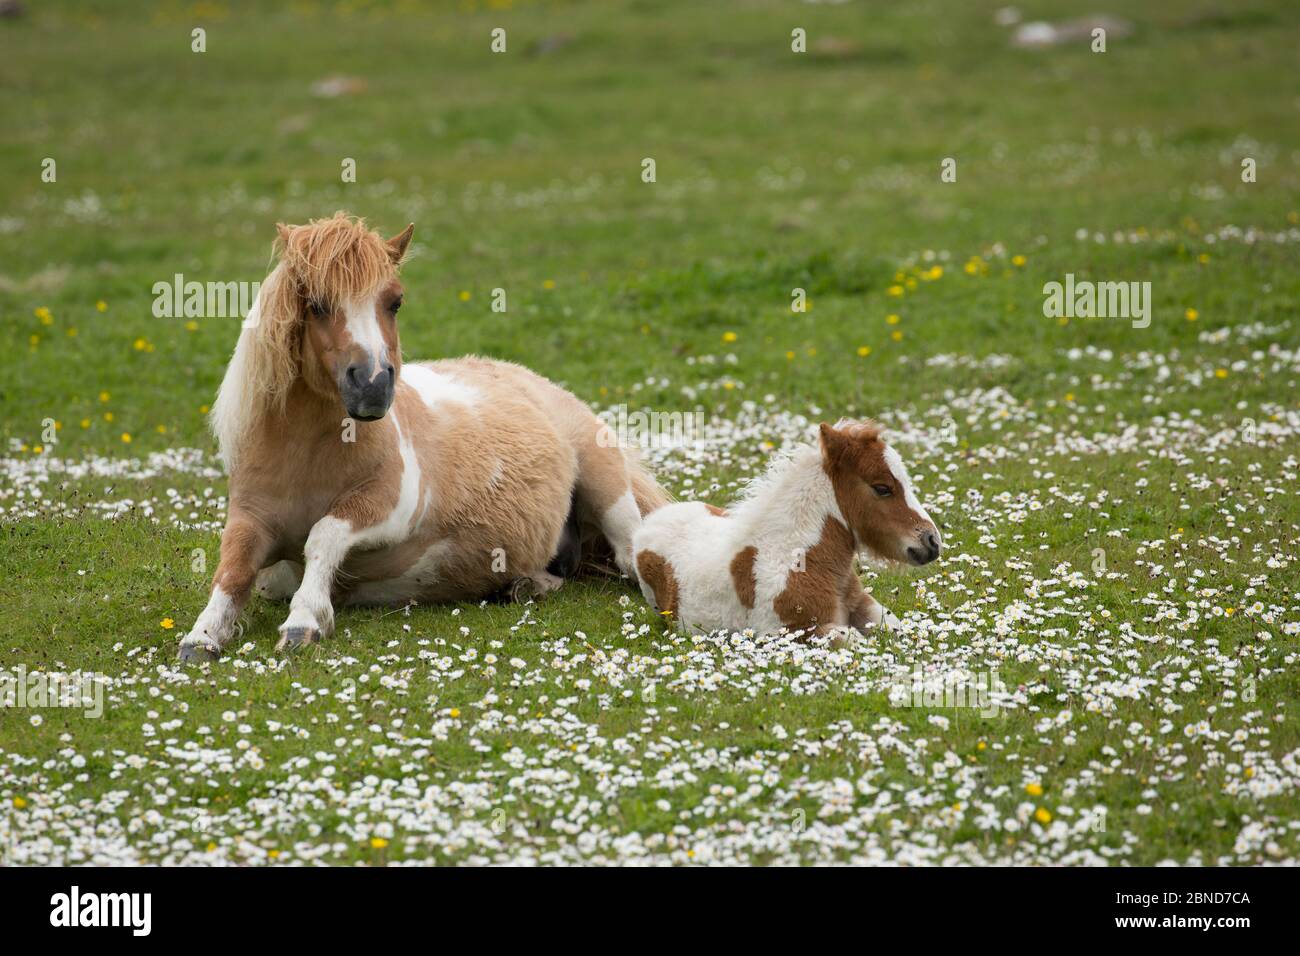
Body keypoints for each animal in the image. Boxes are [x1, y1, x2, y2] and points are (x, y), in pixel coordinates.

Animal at [178, 213, 667, 661]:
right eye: (315, 303)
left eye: (395, 302)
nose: (373, 385)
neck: (308, 457)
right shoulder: (251, 522)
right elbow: (234, 568)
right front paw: (202, 636)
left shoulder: (392, 507)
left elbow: (323, 534)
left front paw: (304, 622)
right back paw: (525, 585)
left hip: (606, 487)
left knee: (631, 556)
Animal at [631, 420, 942, 641]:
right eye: (882, 488)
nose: (932, 542)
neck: (801, 558)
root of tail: (655, 517)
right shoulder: (790, 632)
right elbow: (851, 640)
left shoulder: (864, 605)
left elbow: (893, 627)